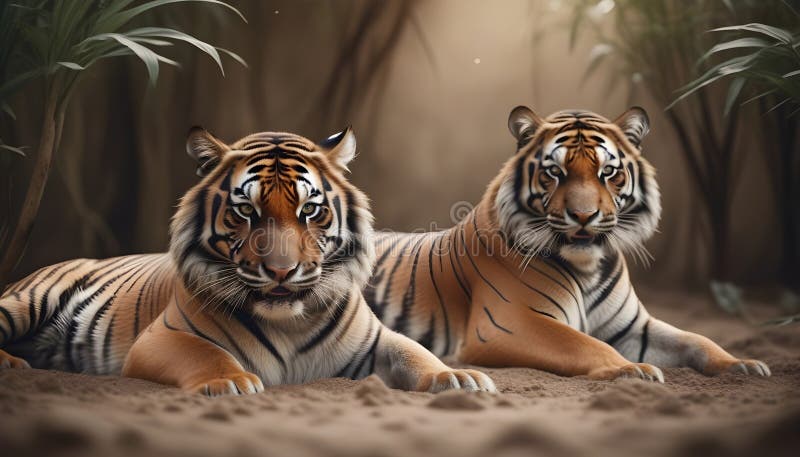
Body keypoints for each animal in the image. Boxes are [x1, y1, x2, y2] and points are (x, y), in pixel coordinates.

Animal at [0, 127, 496, 396]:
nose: (280, 271)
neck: (291, 322)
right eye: (245, 210)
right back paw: (13, 364)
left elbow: (416, 353)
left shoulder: (376, 340)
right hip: (26, 301)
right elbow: (206, 353)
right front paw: (231, 382)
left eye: (310, 209)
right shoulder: (161, 337)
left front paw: (459, 378)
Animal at [365, 106, 770, 382]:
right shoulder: (511, 325)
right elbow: (586, 344)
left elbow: (696, 339)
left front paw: (743, 365)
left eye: (608, 172)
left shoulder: (634, 326)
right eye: (554, 172)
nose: (583, 215)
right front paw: (633, 369)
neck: (588, 267)